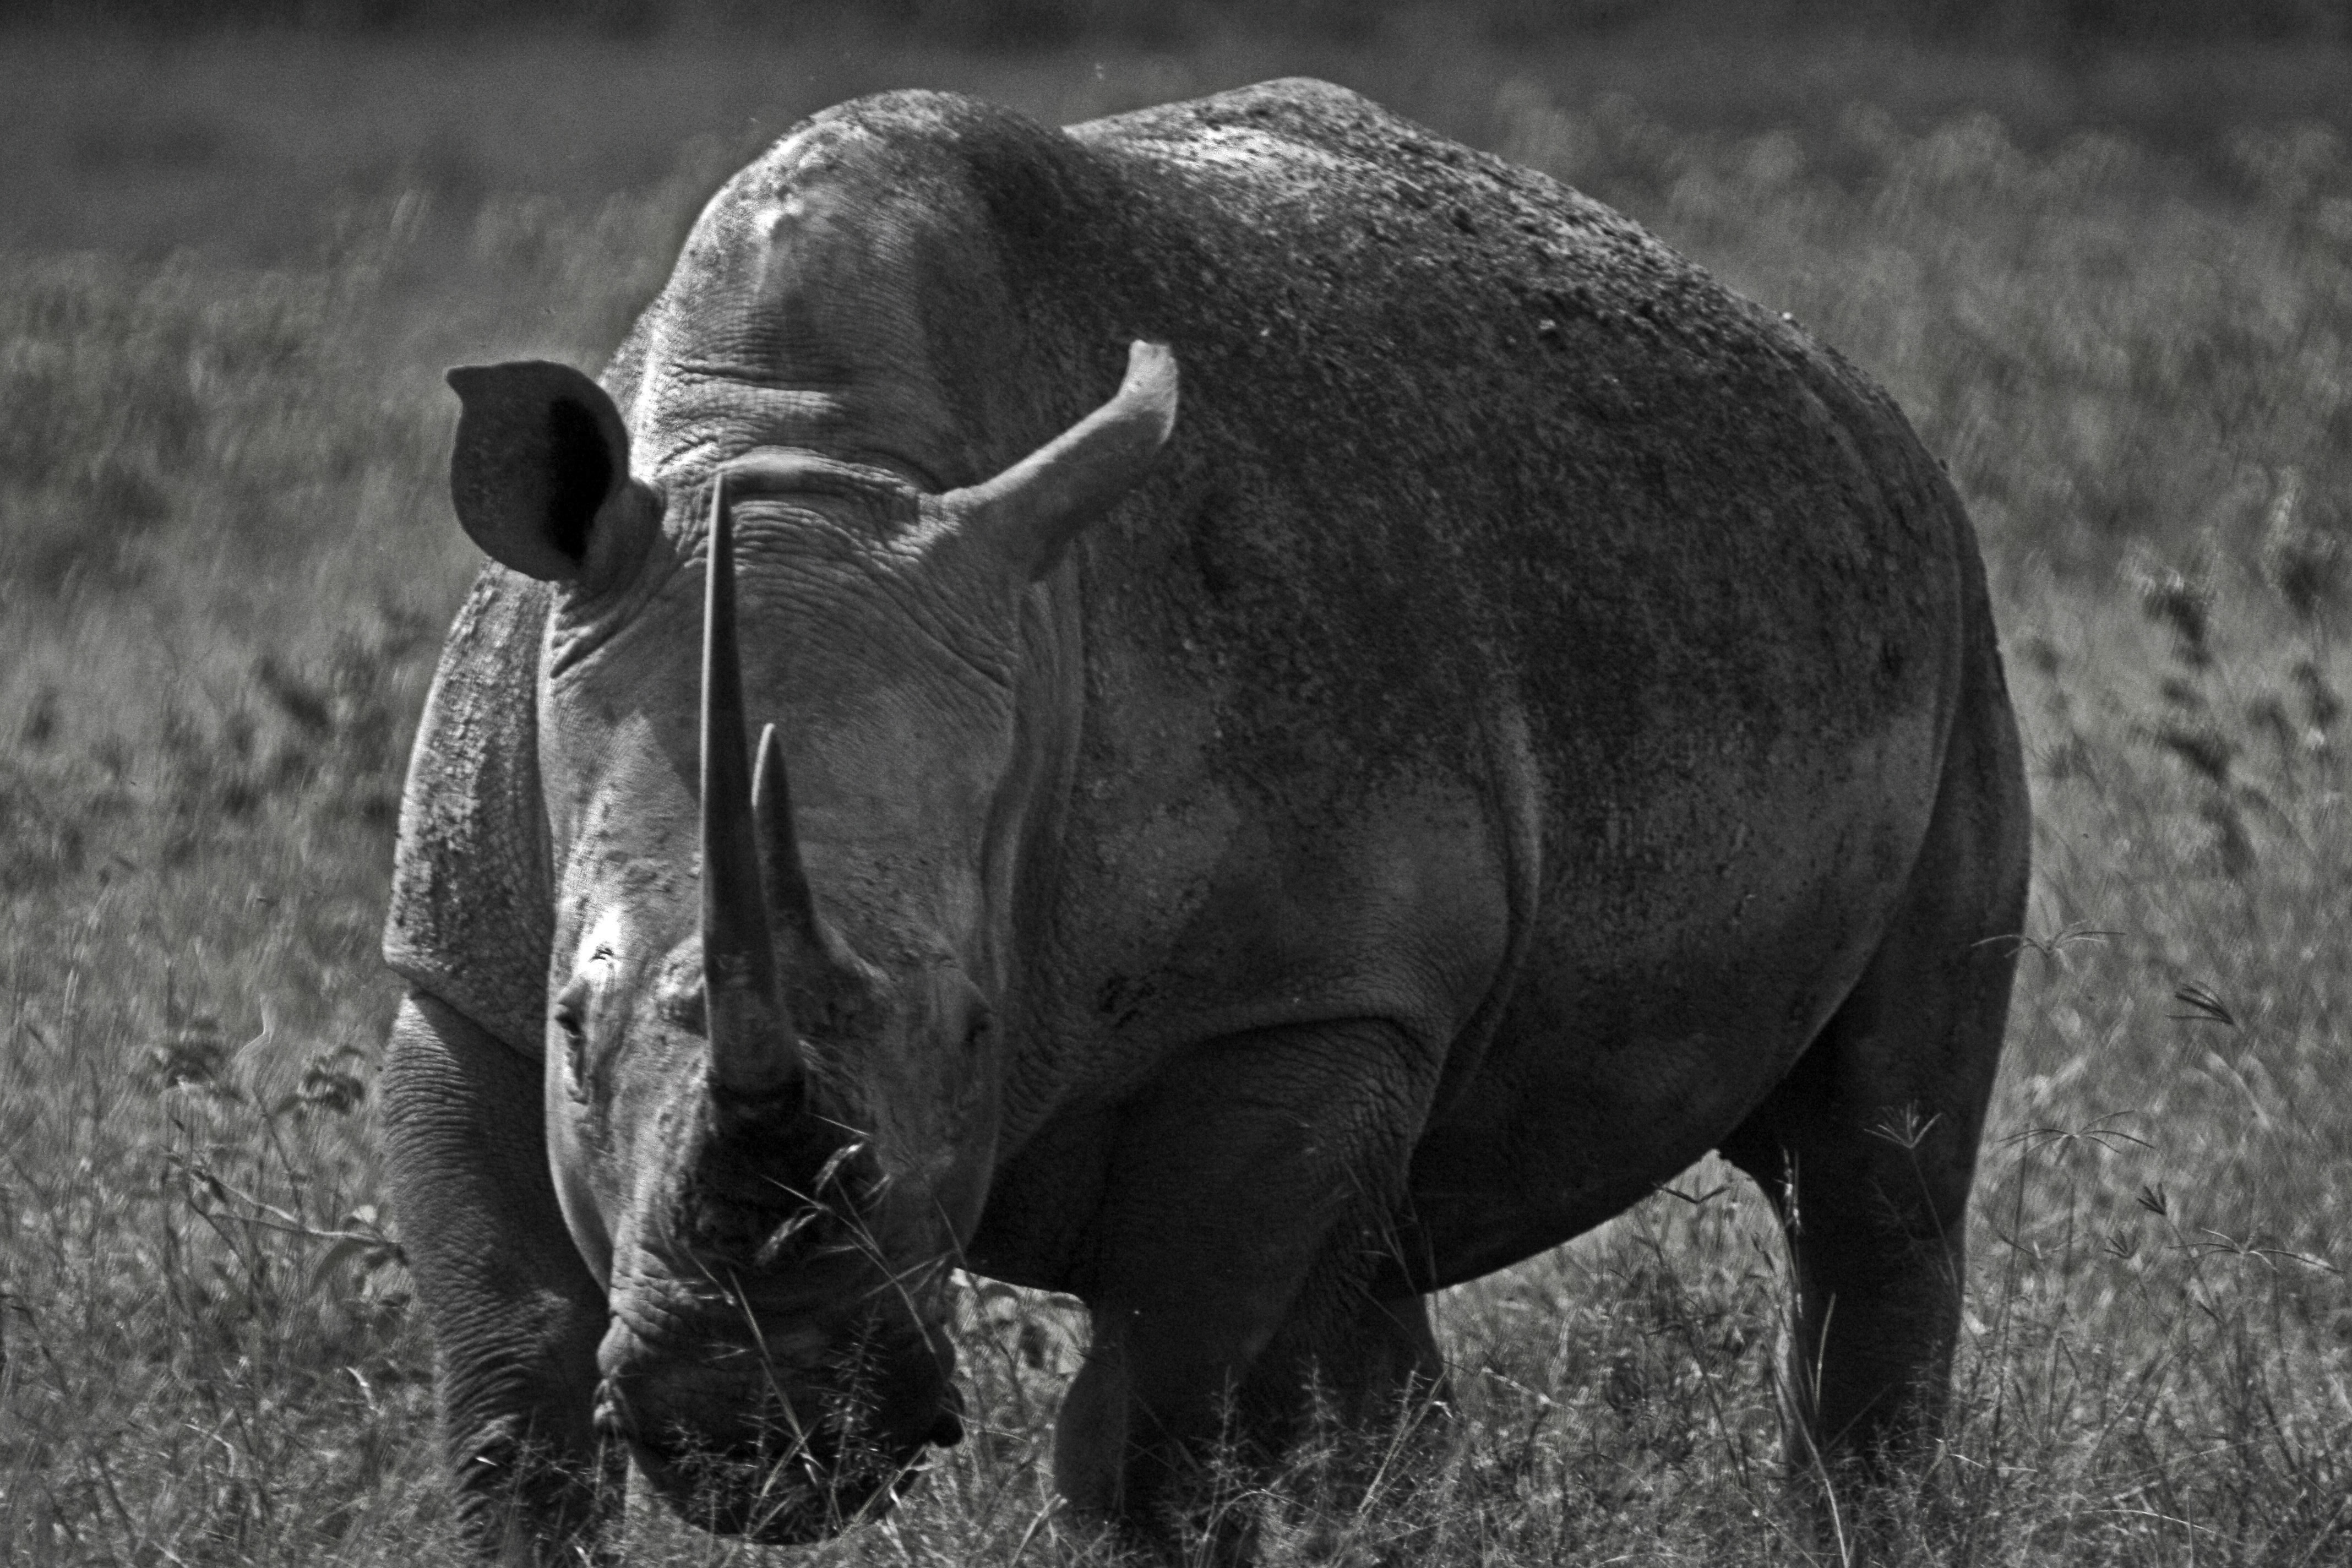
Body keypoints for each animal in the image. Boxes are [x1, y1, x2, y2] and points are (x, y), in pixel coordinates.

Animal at [381, 77, 2028, 1559]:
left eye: (974, 1028)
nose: (770, 1434)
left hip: (1947, 608)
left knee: (1874, 1173)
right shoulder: (459, 974)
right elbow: (512, 1391)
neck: (806, 465)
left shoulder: (1290, 999)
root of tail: (1840, 375)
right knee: (1373, 1274)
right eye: (573, 1024)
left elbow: (1156, 1424)